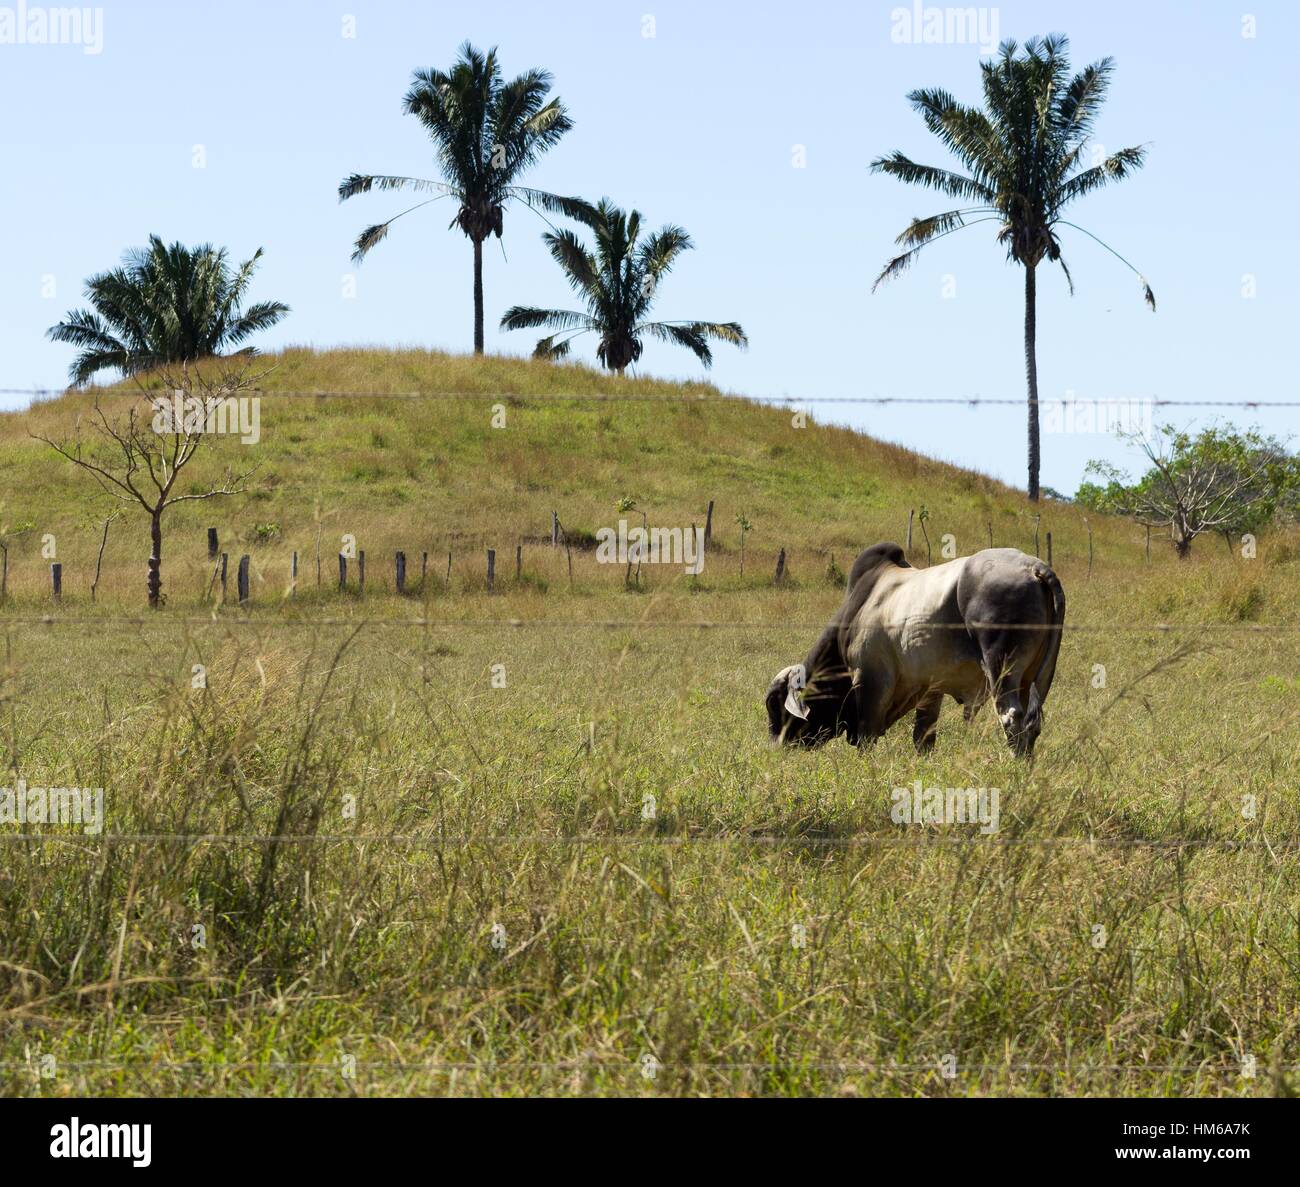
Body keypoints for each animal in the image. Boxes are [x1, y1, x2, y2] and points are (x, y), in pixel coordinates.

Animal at [766, 543, 1065, 756]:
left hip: (1001, 669)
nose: (777, 748)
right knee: (1032, 721)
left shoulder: (870, 679)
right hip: (1037, 678)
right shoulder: (930, 687)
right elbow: (923, 736)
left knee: (1012, 718)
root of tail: (1033, 566)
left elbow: (865, 735)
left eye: (775, 706)